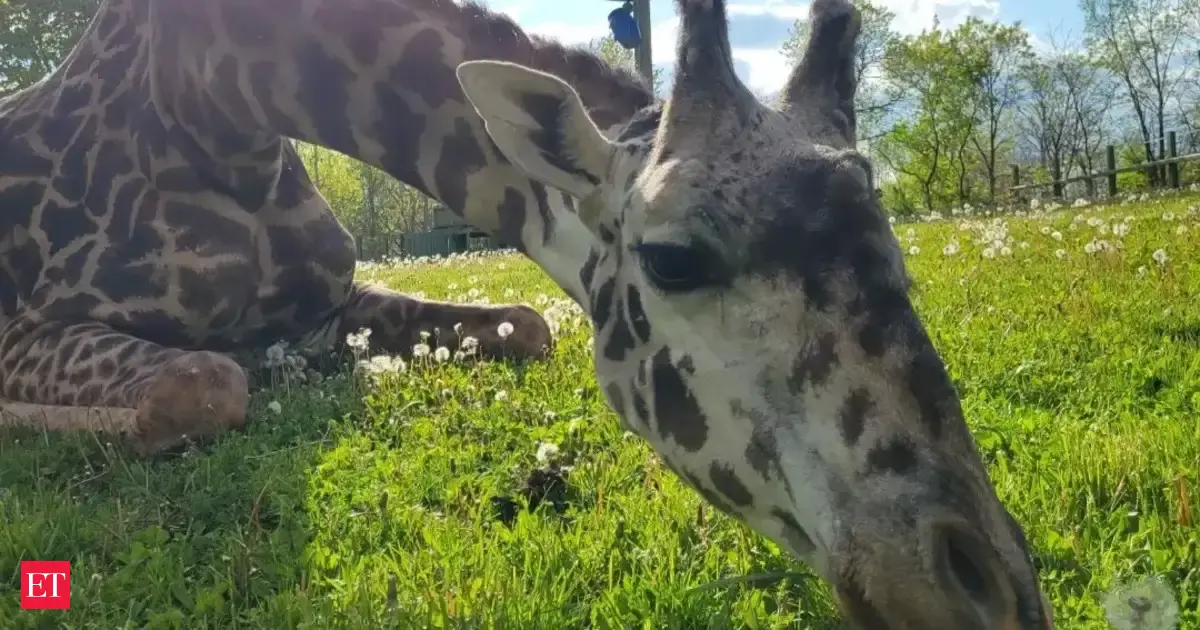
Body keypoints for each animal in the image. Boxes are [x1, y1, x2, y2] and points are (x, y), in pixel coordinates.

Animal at [0, 0, 1053, 625]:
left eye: (892, 241)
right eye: (673, 259)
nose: (986, 590)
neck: (216, 104)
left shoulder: (331, 304)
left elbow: (528, 324)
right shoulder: (26, 329)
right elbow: (199, 383)